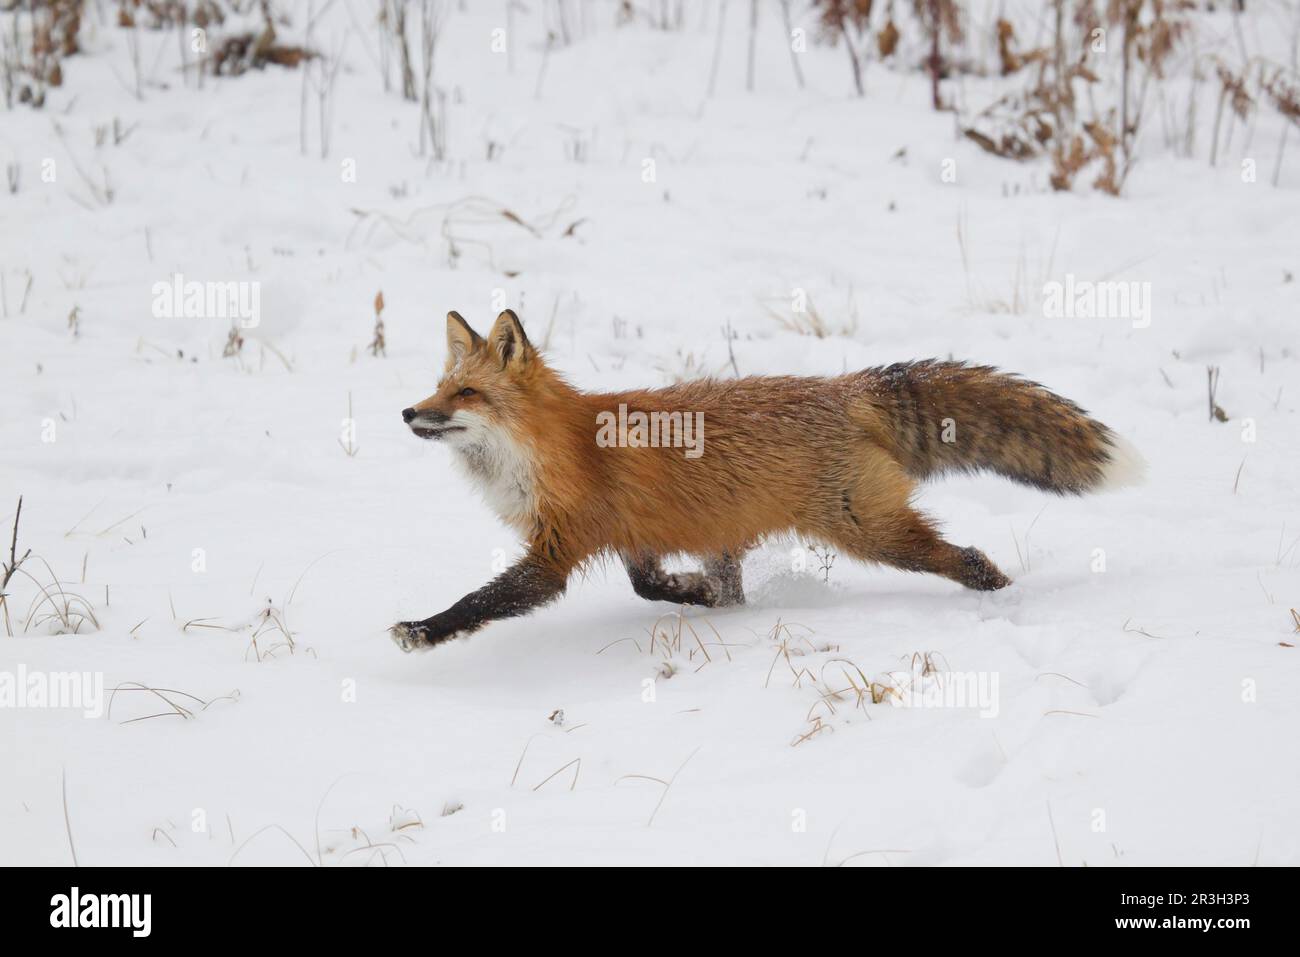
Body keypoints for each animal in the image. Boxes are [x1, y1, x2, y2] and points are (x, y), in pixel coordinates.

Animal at [391, 309, 1143, 652]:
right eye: (438, 386)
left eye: (464, 393)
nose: (406, 413)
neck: (554, 446)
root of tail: (847, 386)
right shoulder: (638, 534)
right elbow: (654, 585)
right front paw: (701, 598)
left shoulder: (556, 551)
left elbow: (481, 600)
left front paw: (423, 629)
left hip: (871, 531)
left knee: (969, 557)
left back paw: (1002, 598)